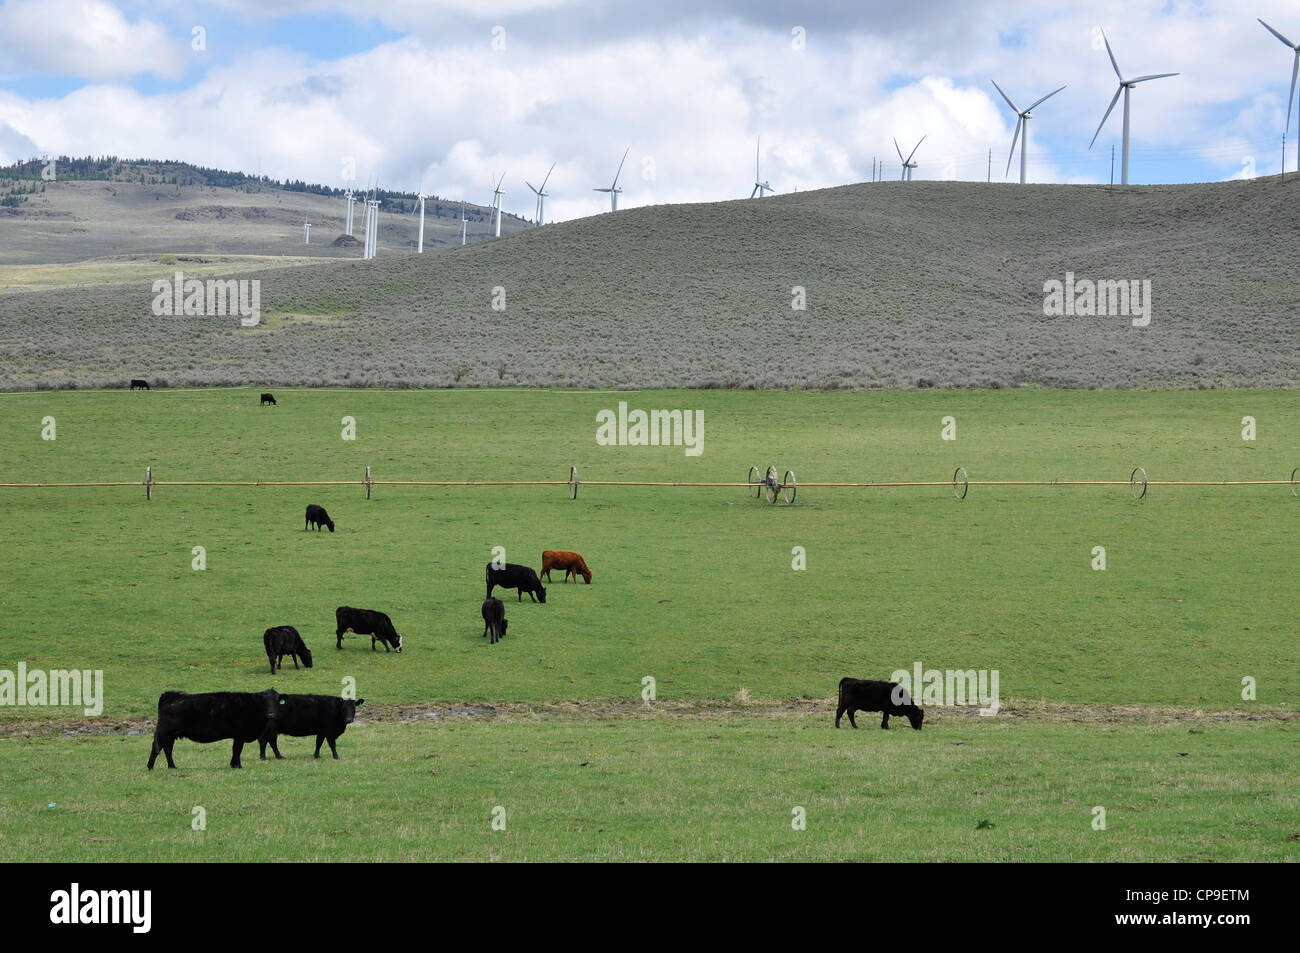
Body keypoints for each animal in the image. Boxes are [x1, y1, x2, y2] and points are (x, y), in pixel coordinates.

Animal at [147, 689, 281, 769]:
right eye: (264, 702)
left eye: (277, 702)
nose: (272, 714)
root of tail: (170, 694)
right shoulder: (240, 735)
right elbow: (237, 750)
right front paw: (237, 765)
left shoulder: (238, 736)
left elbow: (235, 750)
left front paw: (233, 764)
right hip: (165, 733)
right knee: (158, 748)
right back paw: (152, 766)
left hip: (170, 735)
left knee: (167, 749)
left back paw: (170, 767)